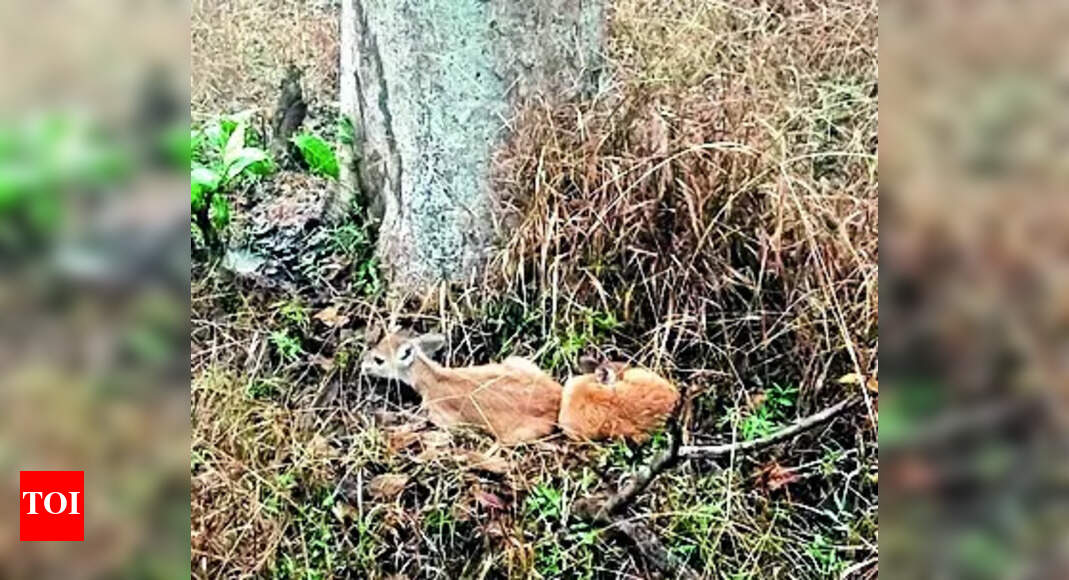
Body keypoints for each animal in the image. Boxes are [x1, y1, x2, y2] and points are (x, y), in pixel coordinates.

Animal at [360, 328, 562, 444]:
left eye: (379, 360)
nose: (363, 365)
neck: (432, 380)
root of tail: (557, 397)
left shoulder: (442, 419)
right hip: (517, 361)